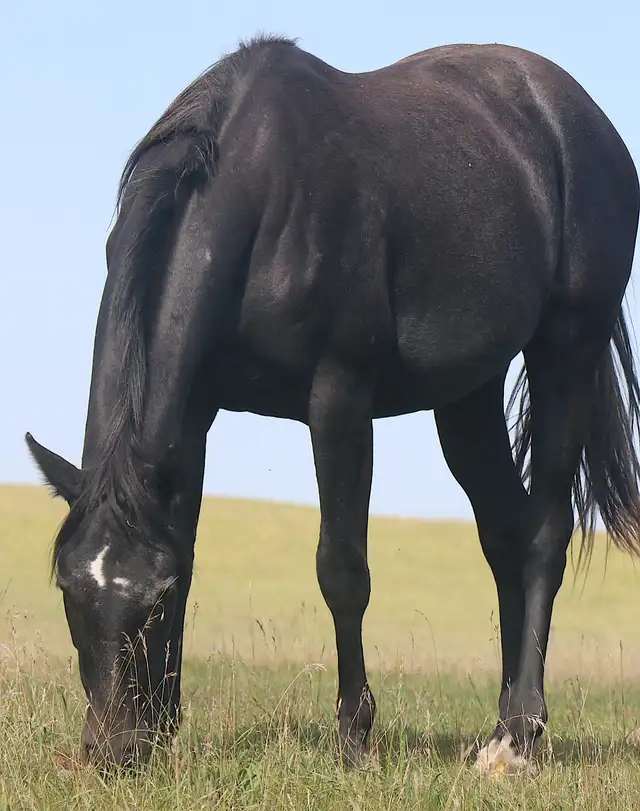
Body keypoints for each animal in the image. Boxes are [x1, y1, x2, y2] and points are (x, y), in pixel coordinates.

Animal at [26, 35, 640, 772]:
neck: (260, 195)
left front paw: (354, 738)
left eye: (151, 600)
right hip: (468, 396)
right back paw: (500, 728)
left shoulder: (340, 396)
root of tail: (583, 117)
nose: (112, 749)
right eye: (69, 589)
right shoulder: (194, 414)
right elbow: (188, 546)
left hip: (566, 353)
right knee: (506, 535)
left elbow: (342, 568)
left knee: (546, 535)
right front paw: (168, 727)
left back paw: (519, 735)